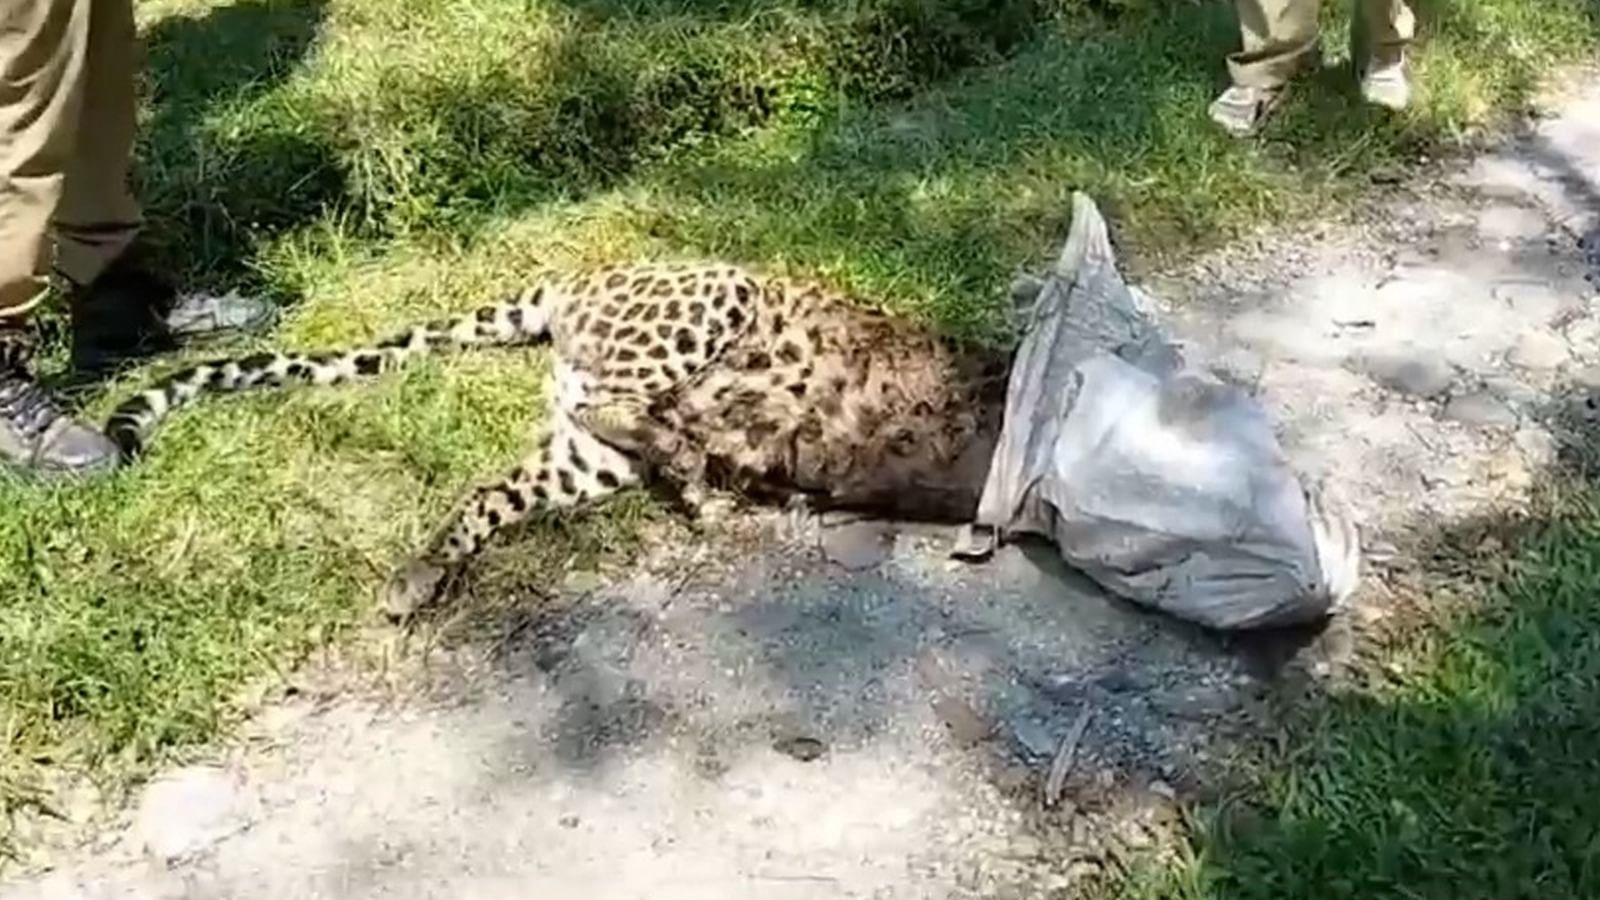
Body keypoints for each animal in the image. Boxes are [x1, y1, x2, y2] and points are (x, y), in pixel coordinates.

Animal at [106, 262, 1014, 618]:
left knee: (495, 486)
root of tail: (574, 278)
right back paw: (701, 473)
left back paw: (419, 572)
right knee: (634, 403)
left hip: (586, 460)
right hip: (715, 302)